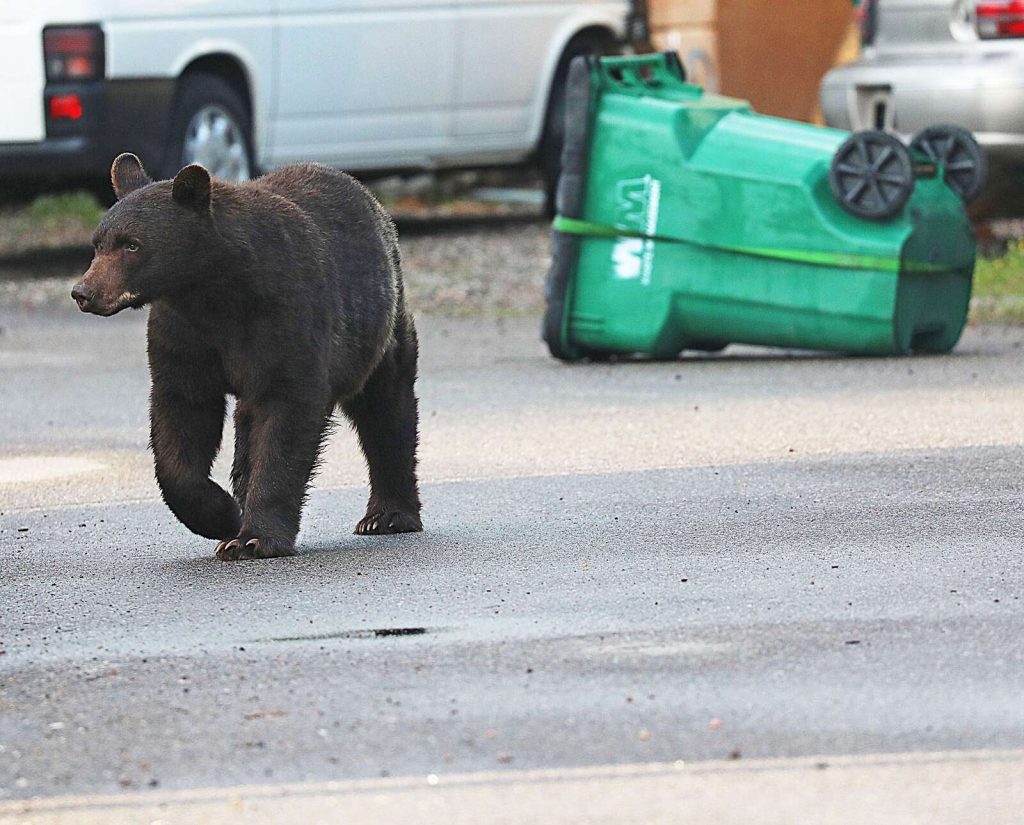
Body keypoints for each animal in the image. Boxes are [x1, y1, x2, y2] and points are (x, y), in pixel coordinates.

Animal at [71, 153, 422, 560]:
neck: (213, 292)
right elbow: (181, 412)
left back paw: (388, 515)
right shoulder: (183, 334)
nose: (83, 292)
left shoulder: (286, 315)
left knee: (386, 407)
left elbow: (287, 414)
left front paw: (255, 537)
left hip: (379, 328)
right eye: (98, 243)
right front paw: (223, 515)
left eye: (132, 244)